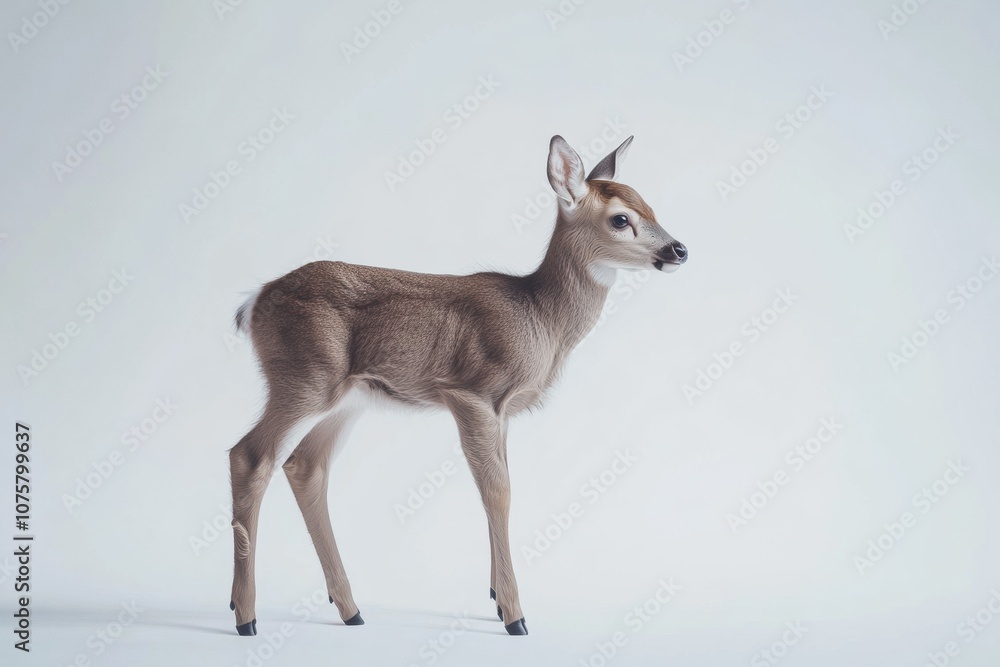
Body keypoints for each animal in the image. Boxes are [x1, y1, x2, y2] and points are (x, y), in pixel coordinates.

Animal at [227, 134, 688, 636]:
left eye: (650, 205)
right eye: (621, 218)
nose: (680, 250)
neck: (540, 319)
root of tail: (252, 303)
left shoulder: (502, 410)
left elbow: (503, 481)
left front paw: (495, 598)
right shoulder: (472, 391)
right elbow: (498, 491)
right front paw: (514, 614)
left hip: (346, 400)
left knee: (305, 467)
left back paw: (350, 609)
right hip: (304, 376)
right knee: (250, 457)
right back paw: (246, 616)